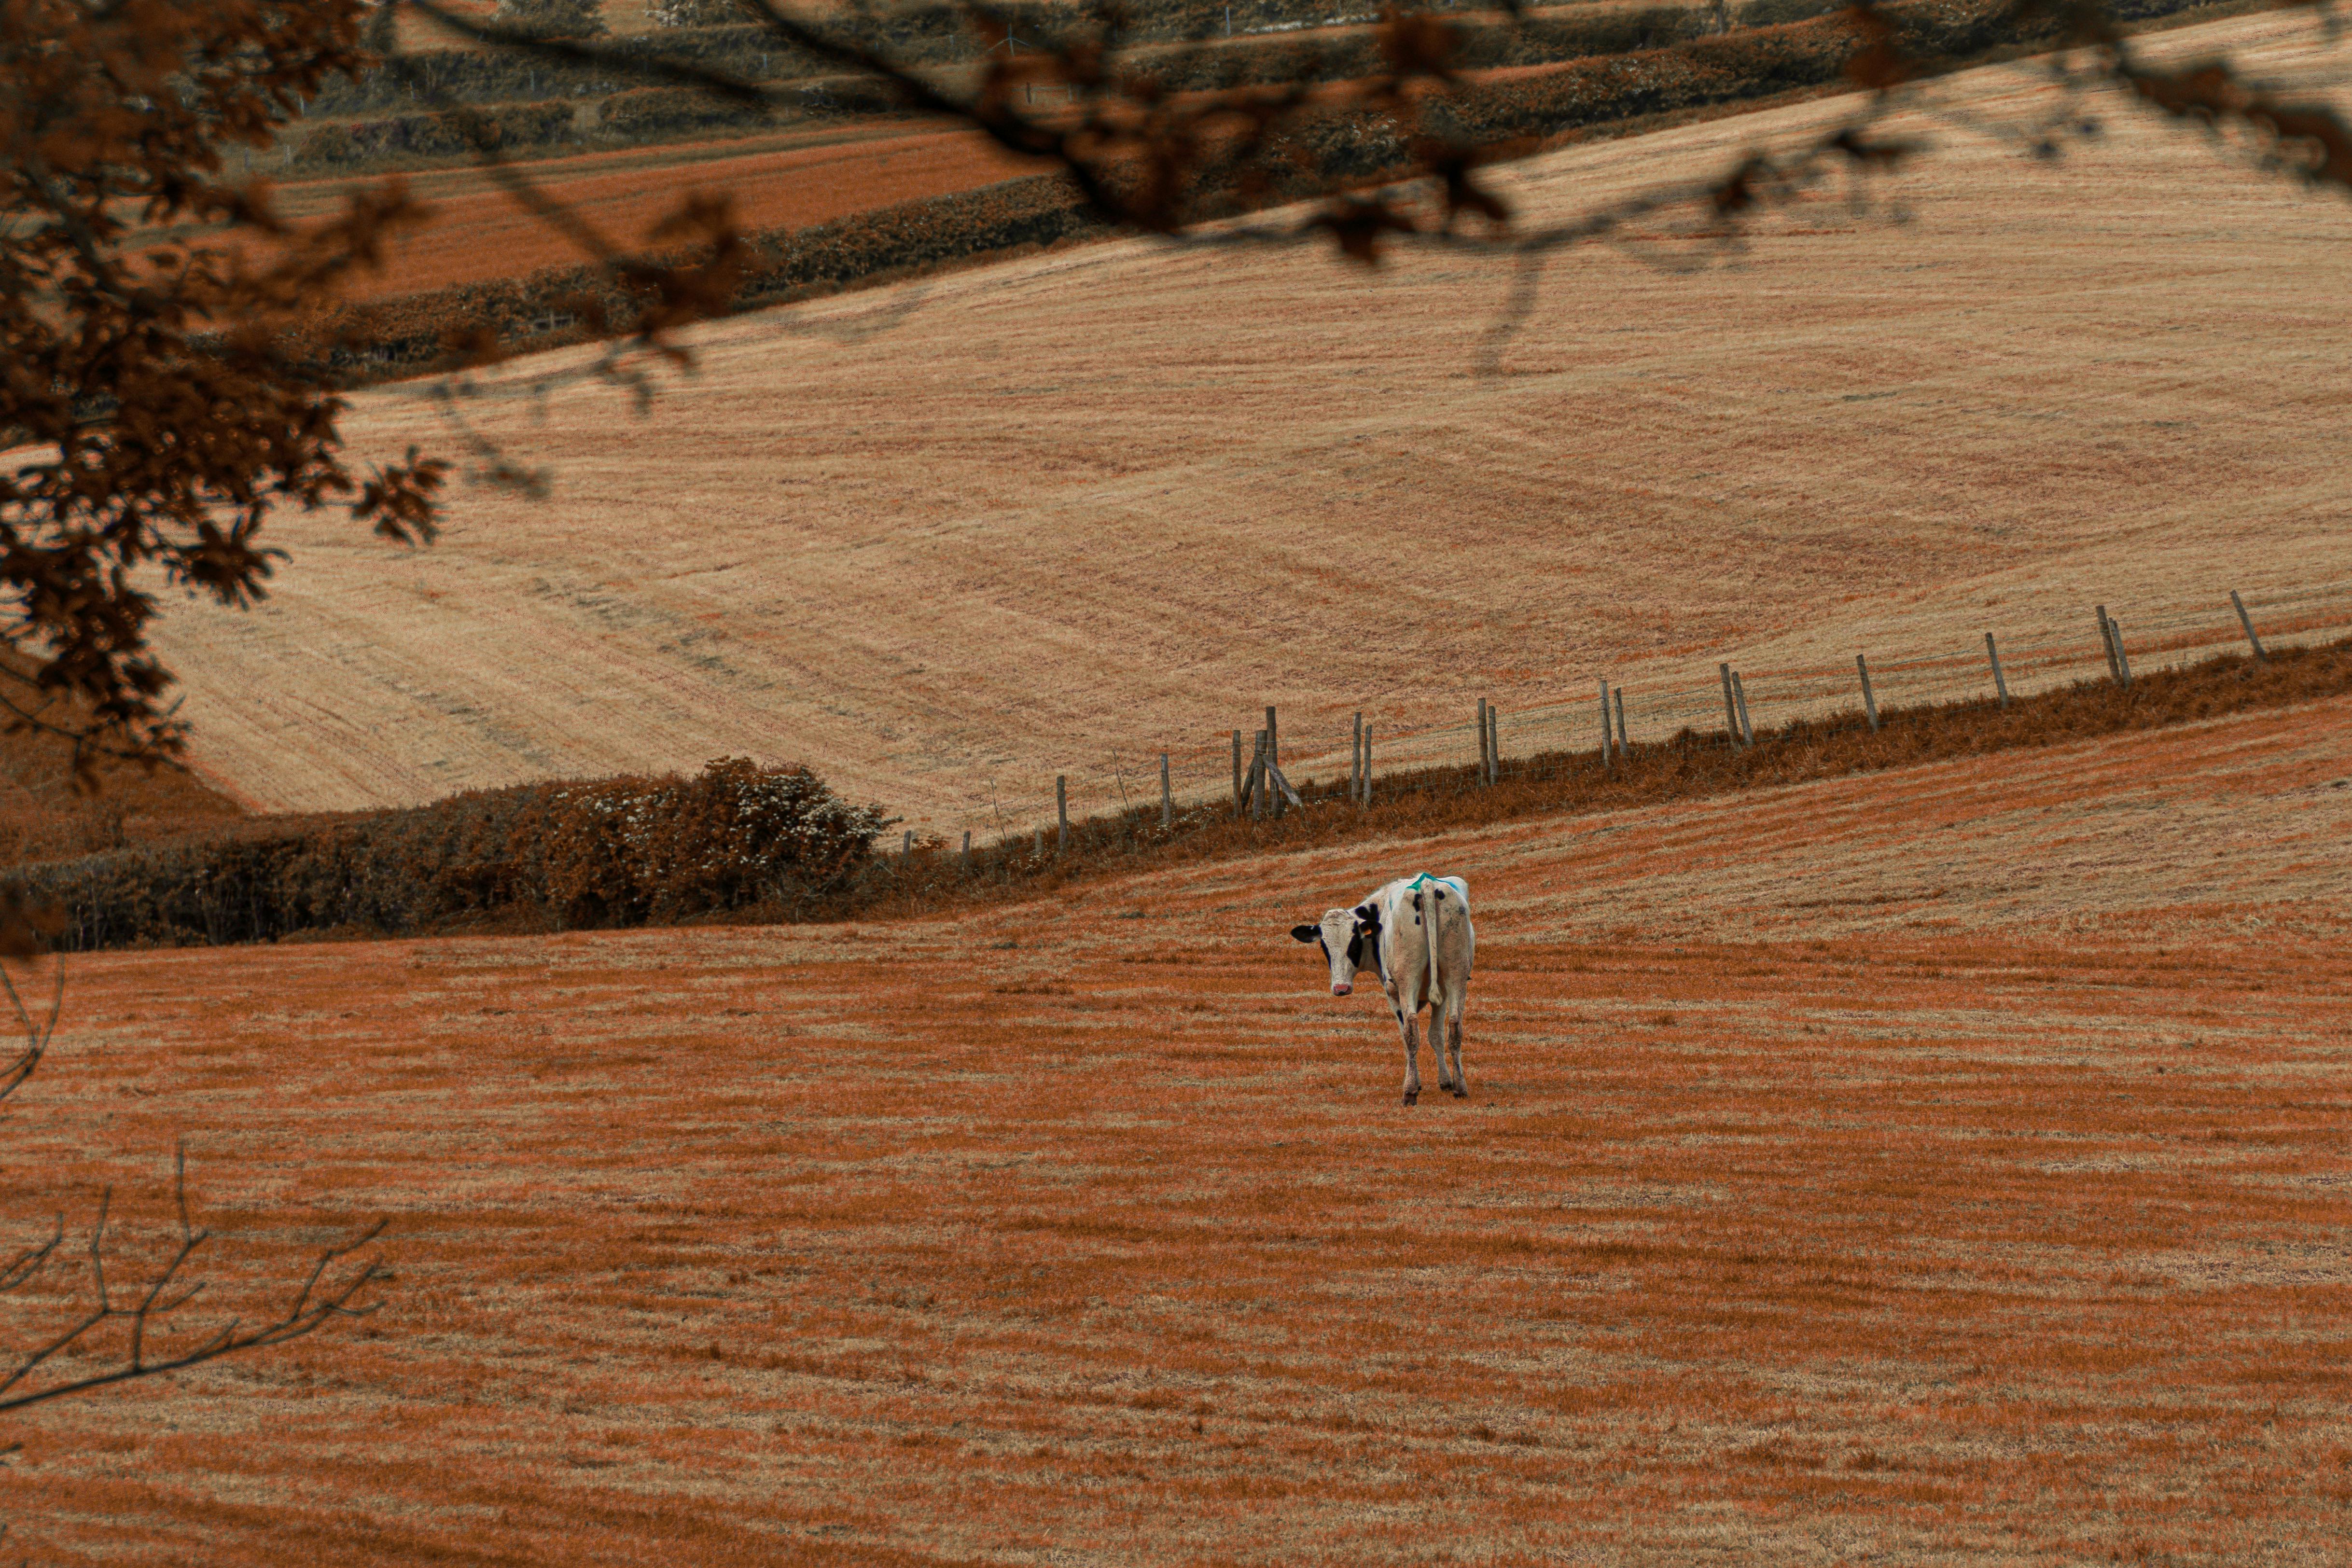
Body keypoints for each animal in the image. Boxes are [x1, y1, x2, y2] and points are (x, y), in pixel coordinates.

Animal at [1291, 874, 1475, 1106]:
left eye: (1354, 944)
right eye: (1325, 946)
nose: (1341, 988)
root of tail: (1426, 884)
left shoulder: (1394, 995)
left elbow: (1408, 1038)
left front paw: (1417, 1083)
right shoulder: (1441, 995)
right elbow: (1436, 1036)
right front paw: (1445, 1081)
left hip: (1408, 982)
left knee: (1411, 1032)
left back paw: (1409, 1091)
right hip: (1457, 976)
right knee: (1455, 1027)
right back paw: (1460, 1087)